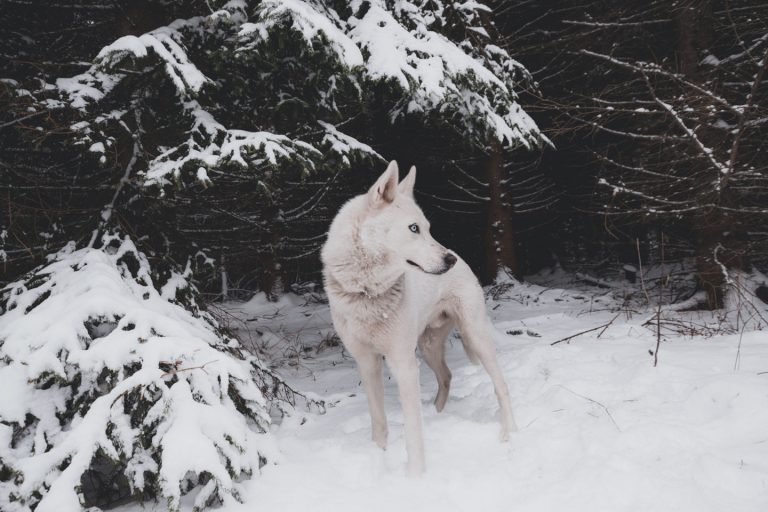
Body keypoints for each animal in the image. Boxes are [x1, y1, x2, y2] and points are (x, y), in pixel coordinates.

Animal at [321, 161, 517, 475]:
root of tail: (463, 258)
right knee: (446, 376)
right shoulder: (367, 363)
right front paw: (379, 460)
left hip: (474, 337)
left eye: (428, 229)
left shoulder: (403, 363)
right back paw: (437, 413)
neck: (367, 293)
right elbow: (379, 422)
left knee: (501, 386)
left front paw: (415, 476)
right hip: (427, 347)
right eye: (414, 229)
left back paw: (509, 433)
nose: (449, 260)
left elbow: (413, 431)